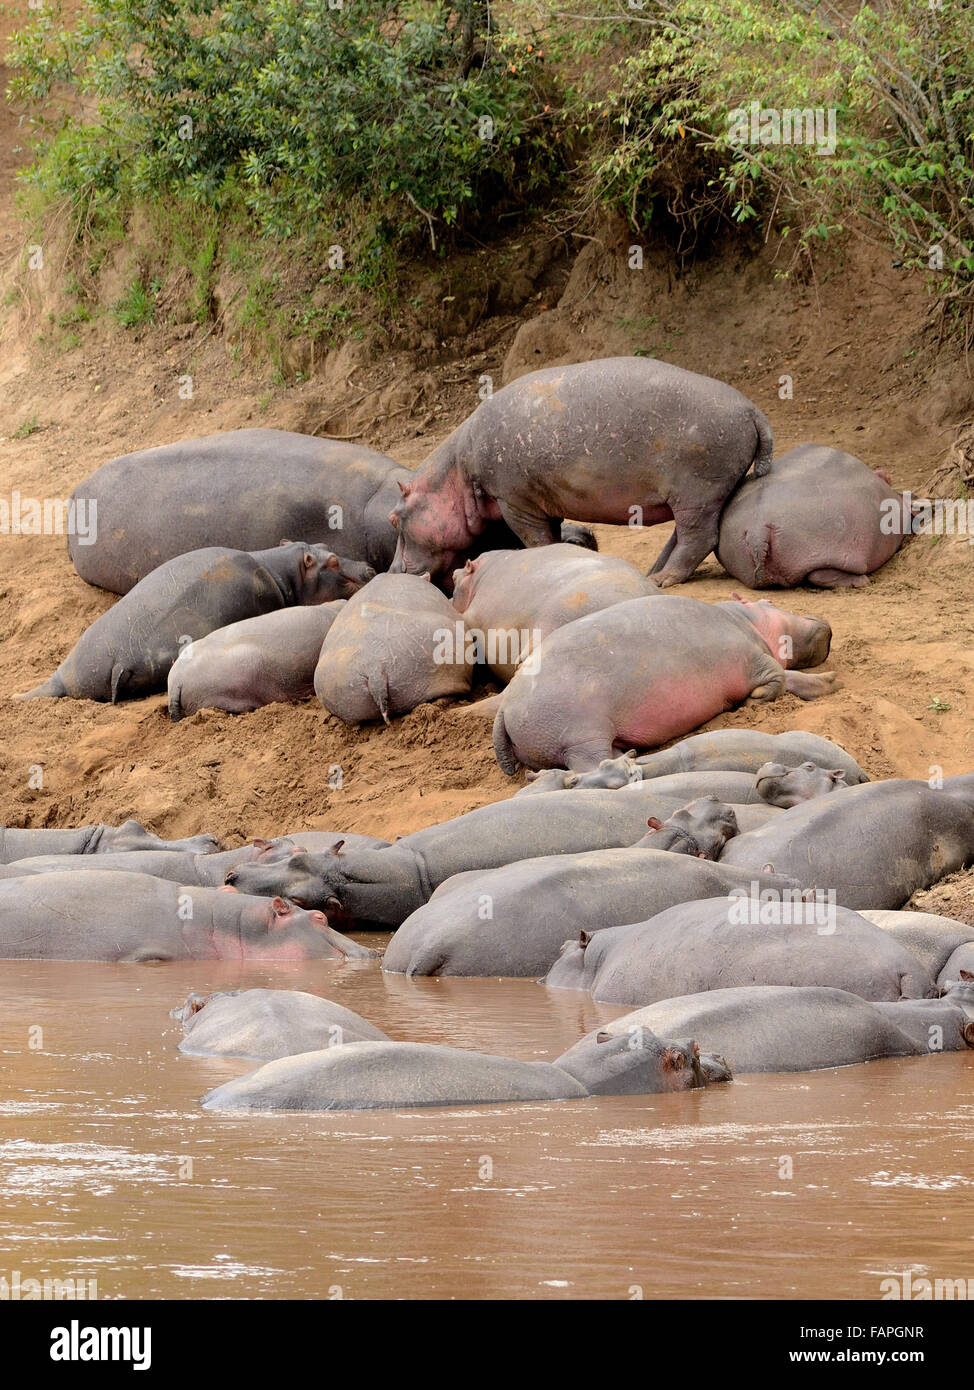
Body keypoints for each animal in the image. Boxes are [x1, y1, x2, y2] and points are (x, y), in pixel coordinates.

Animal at [388, 357, 774, 587]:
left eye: (394, 518)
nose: (390, 572)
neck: (456, 470)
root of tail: (751, 407)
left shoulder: (514, 500)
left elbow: (535, 539)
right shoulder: (543, 500)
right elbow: (552, 532)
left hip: (698, 490)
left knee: (698, 536)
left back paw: (663, 580)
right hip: (702, 492)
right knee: (683, 535)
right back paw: (653, 572)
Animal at [486, 595, 835, 773]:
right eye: (769, 601)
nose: (827, 625)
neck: (745, 620)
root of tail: (504, 708)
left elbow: (796, 679)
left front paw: (831, 681)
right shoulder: (754, 657)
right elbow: (777, 678)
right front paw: (754, 700)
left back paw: (629, 754)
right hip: (579, 734)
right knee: (588, 762)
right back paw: (625, 761)